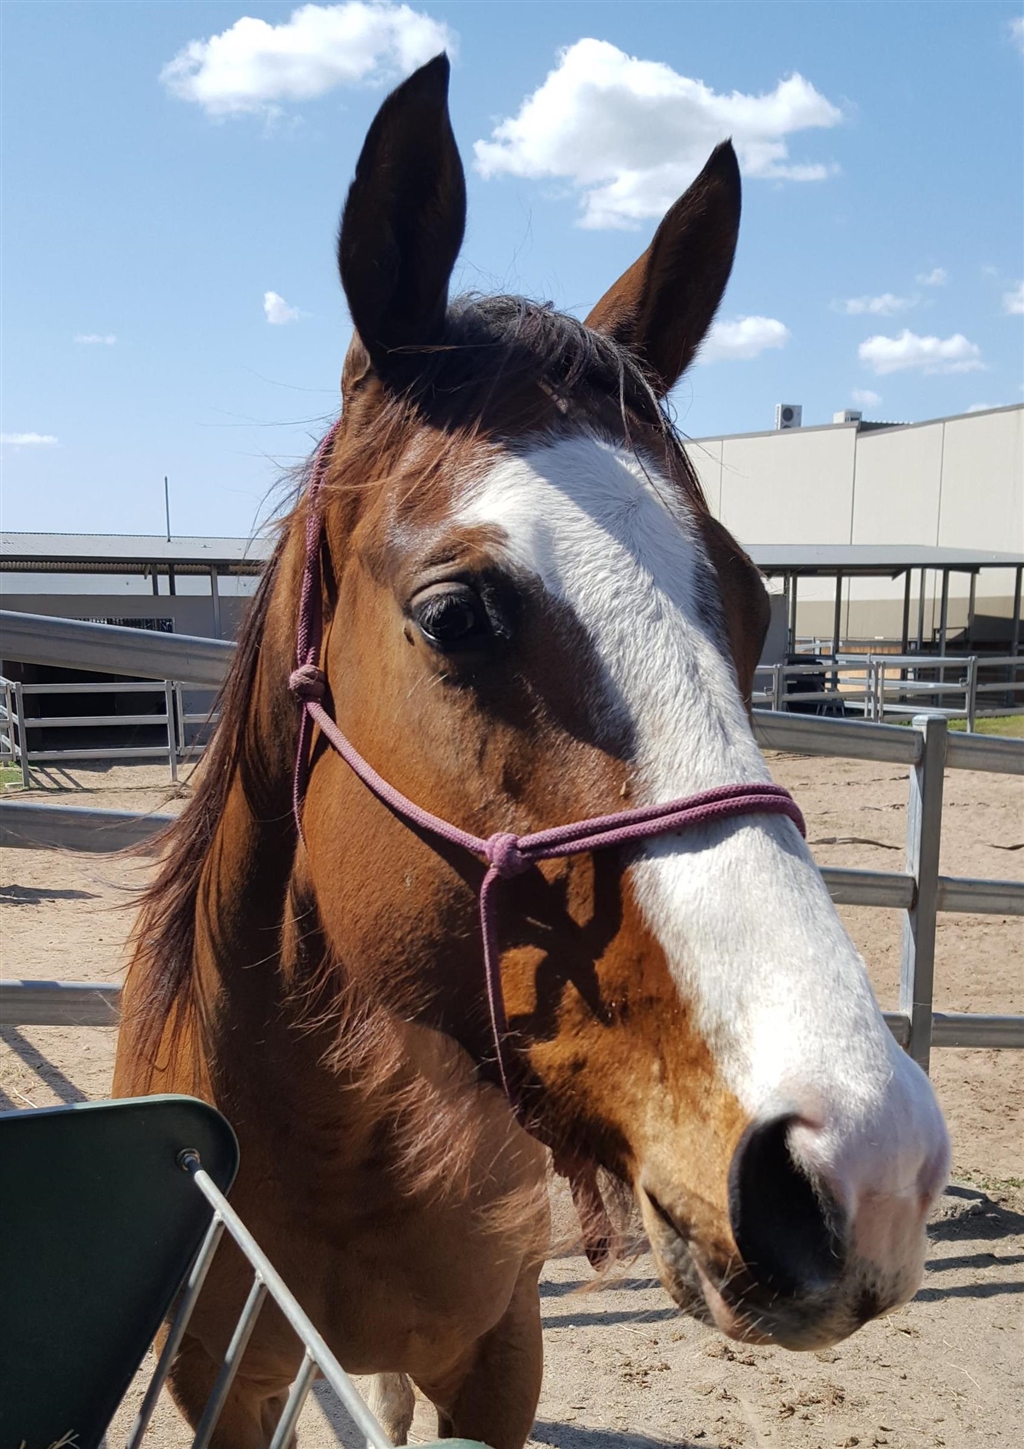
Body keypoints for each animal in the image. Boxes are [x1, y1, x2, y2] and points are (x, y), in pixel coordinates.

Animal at [113, 54, 950, 1449]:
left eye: (755, 606)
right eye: (457, 615)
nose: (863, 1165)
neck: (338, 1145)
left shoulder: (500, 1360)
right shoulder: (218, 1379)